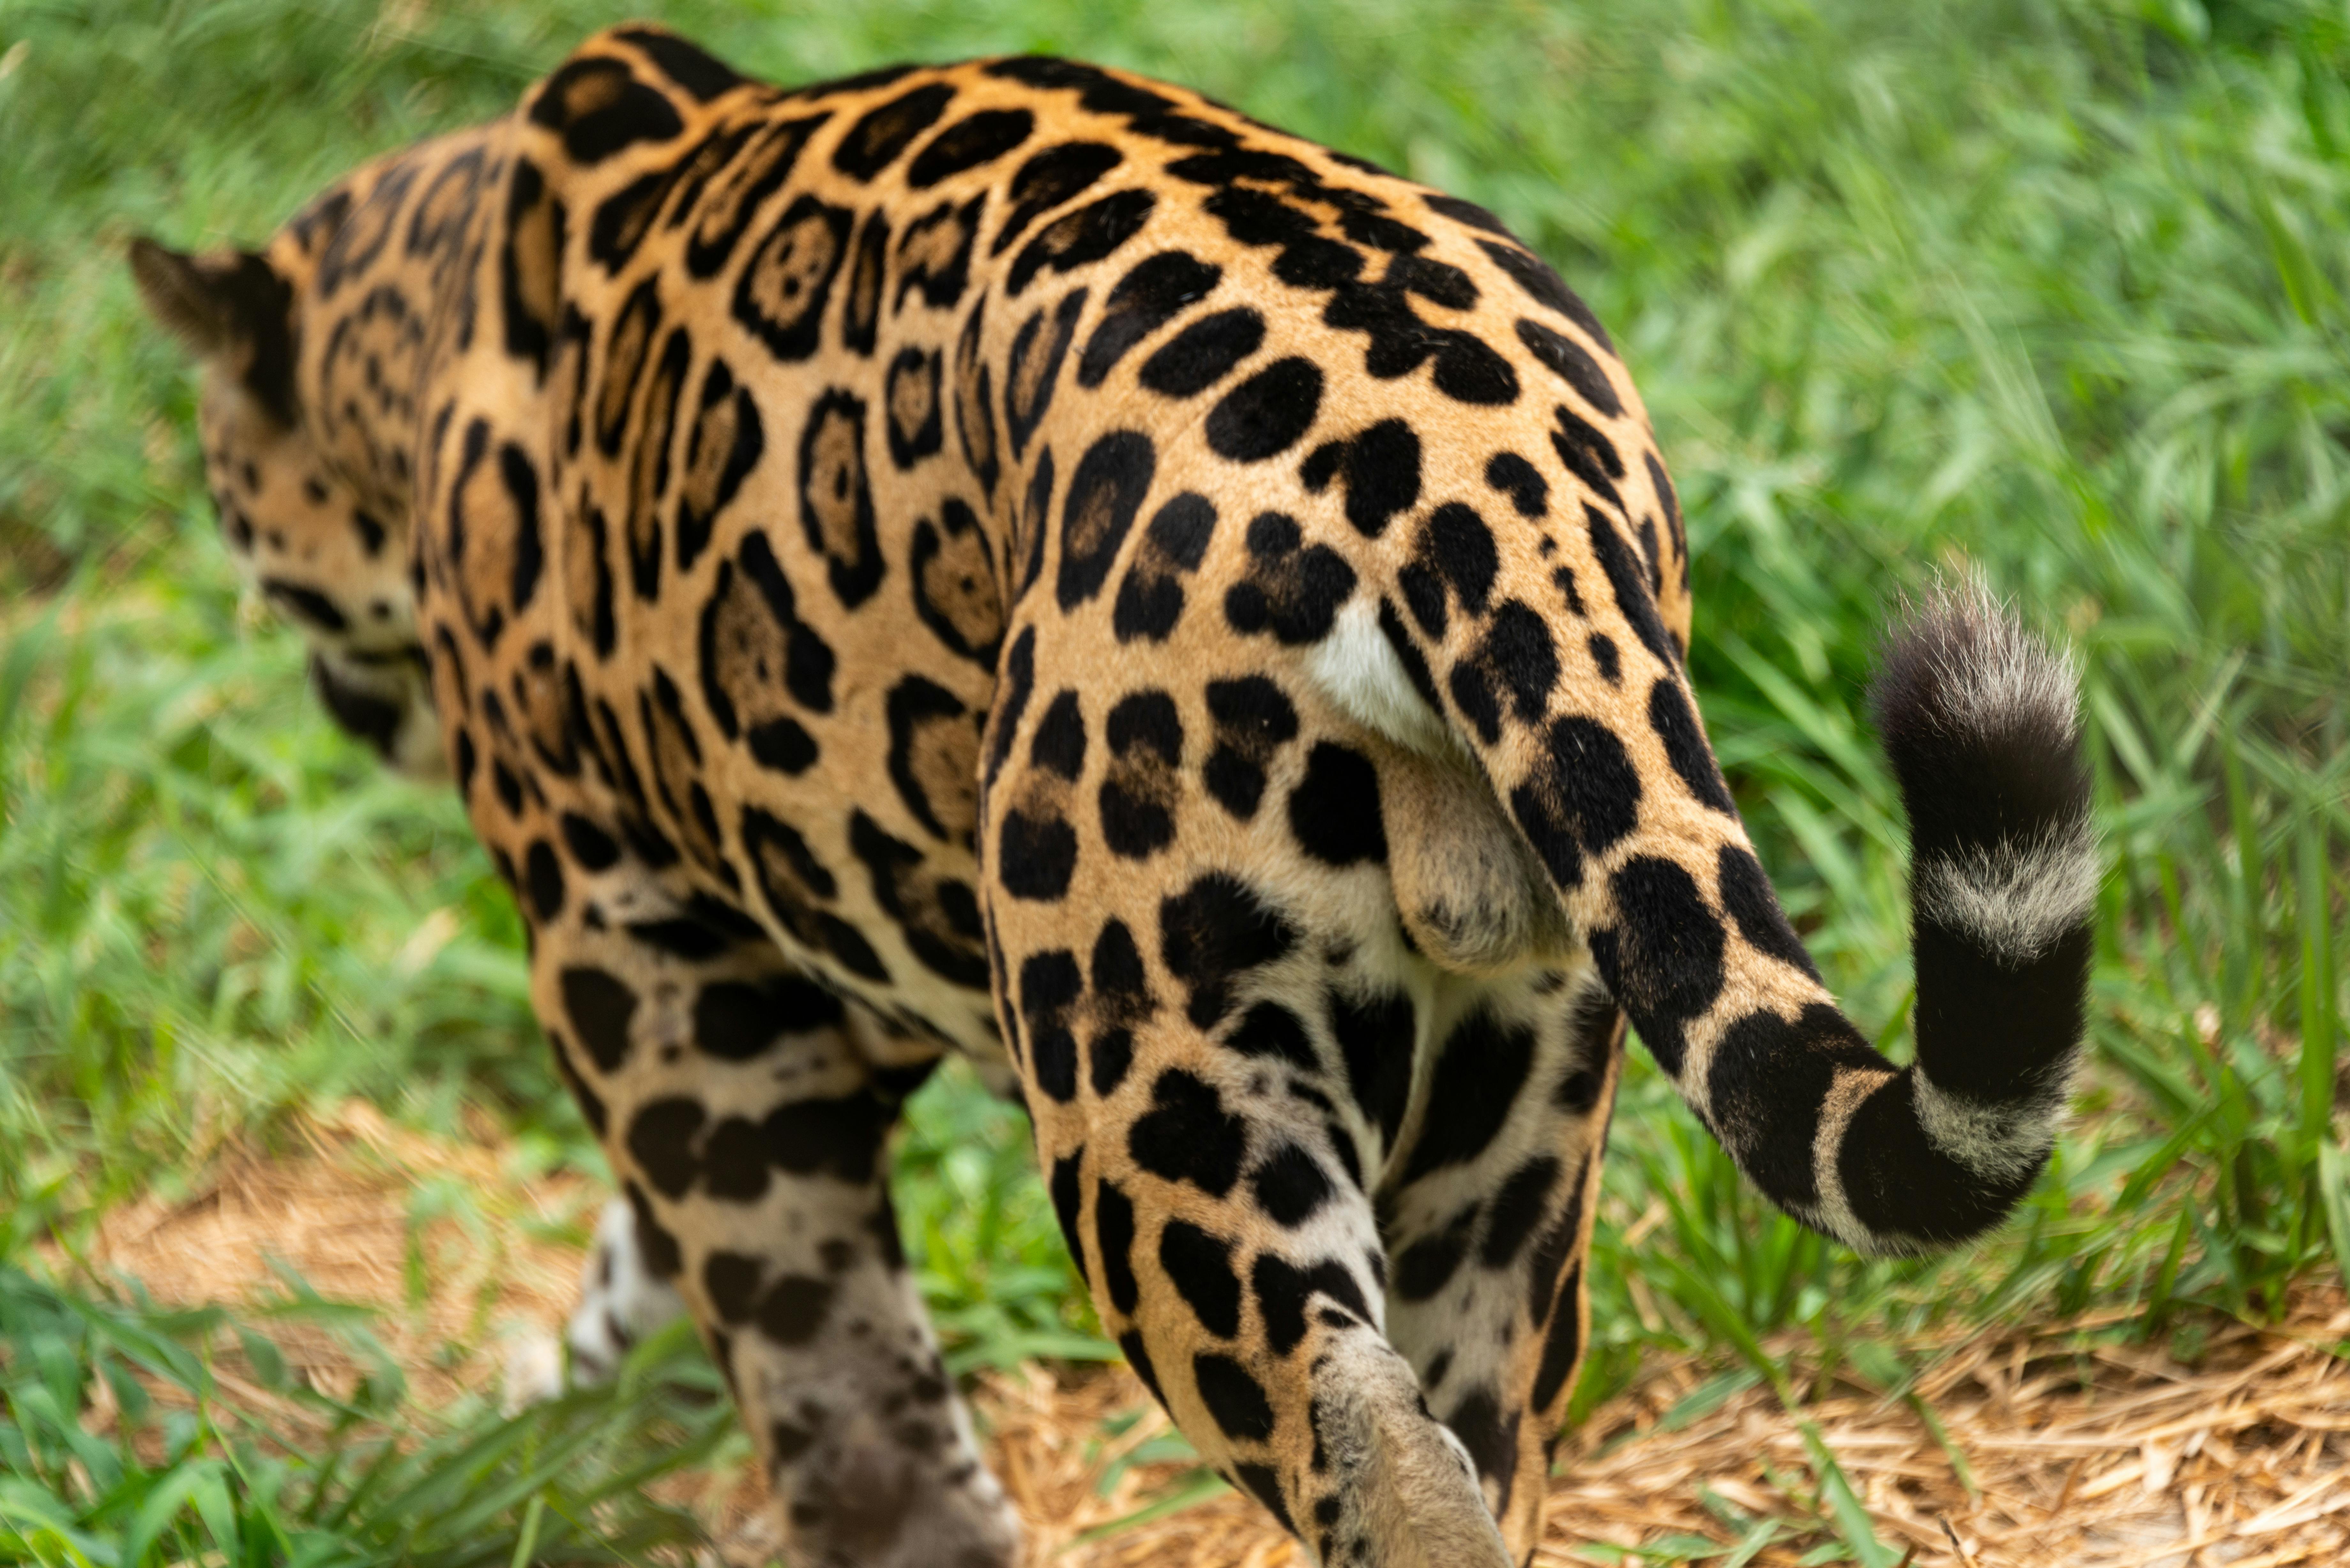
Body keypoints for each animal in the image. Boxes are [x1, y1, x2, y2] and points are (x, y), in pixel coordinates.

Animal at [130, 23, 2098, 1568]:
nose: (331, 691)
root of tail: (1483, 459)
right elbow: (665, 1250)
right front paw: (569, 1370)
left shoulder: (639, 949)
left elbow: (803, 1318)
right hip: (1524, 1083)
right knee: (1478, 1417)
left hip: (1151, 1058)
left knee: (1357, 1427)